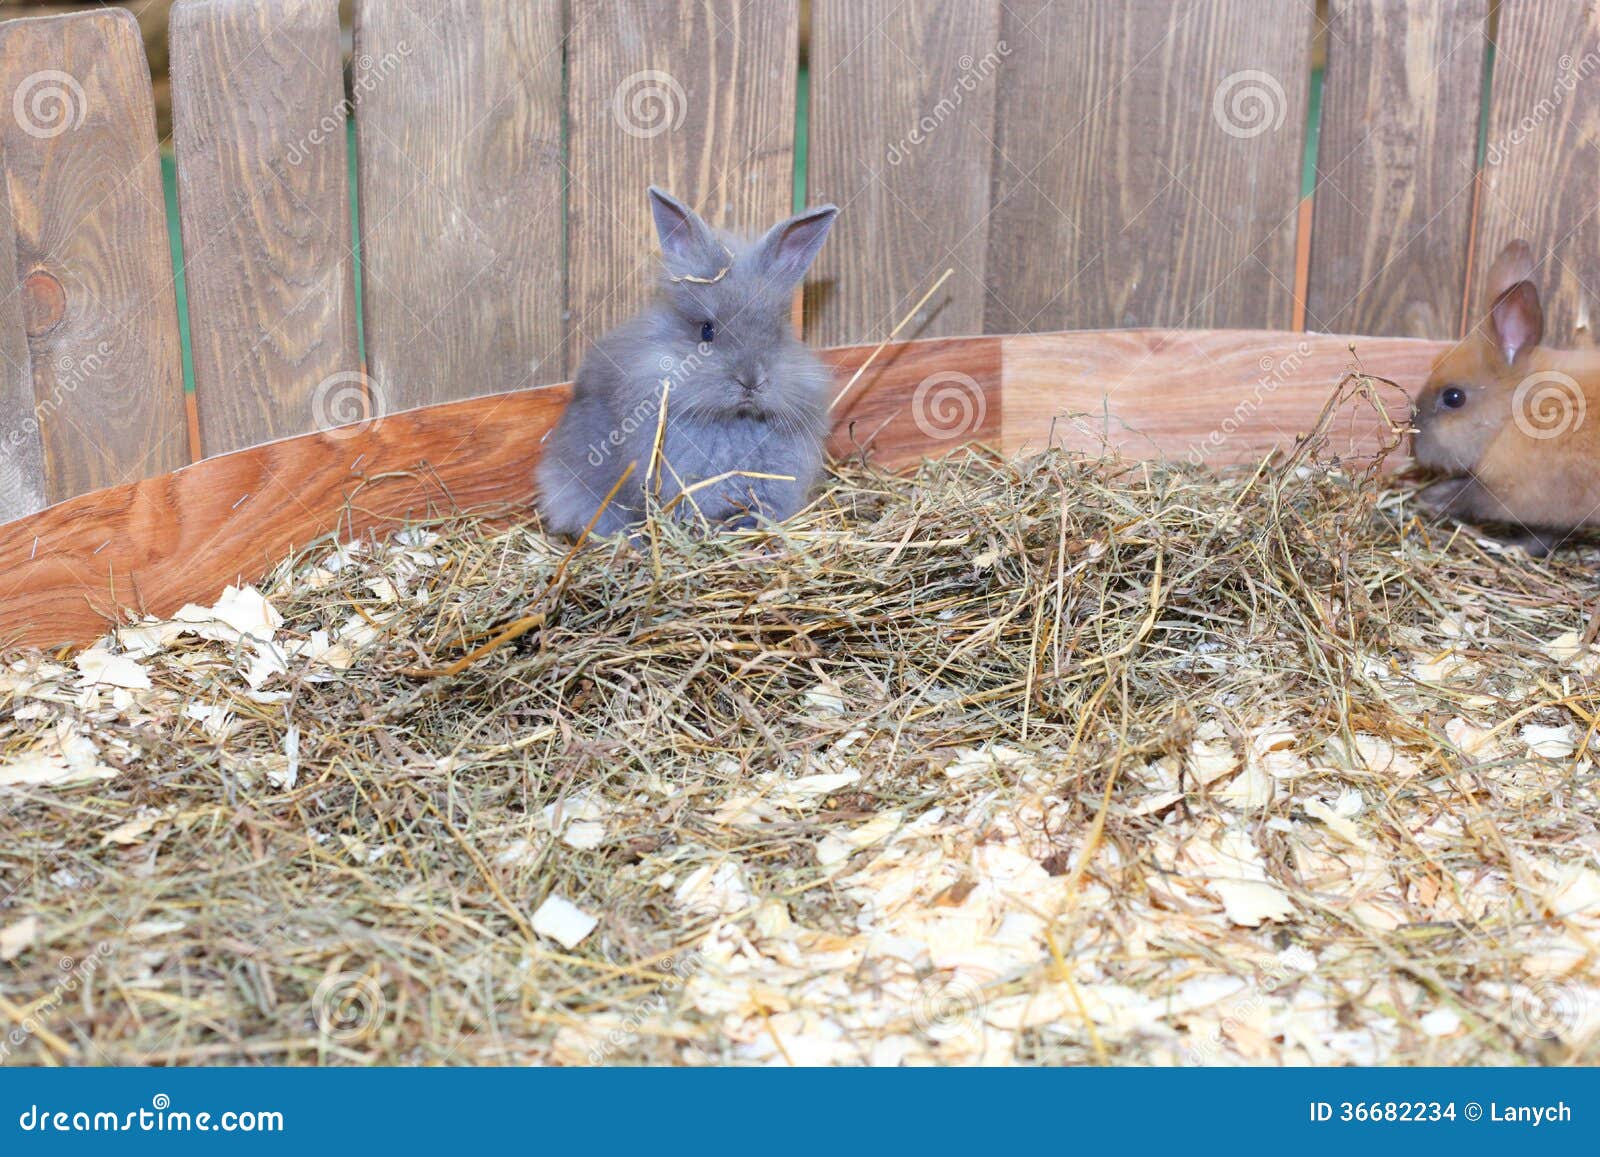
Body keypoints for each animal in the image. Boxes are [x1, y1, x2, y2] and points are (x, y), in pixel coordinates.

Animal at [1411, 238, 1600, 555]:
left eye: (1453, 397)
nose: (1414, 447)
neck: (1516, 414)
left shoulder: (1523, 497)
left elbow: (1475, 499)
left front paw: (1433, 499)